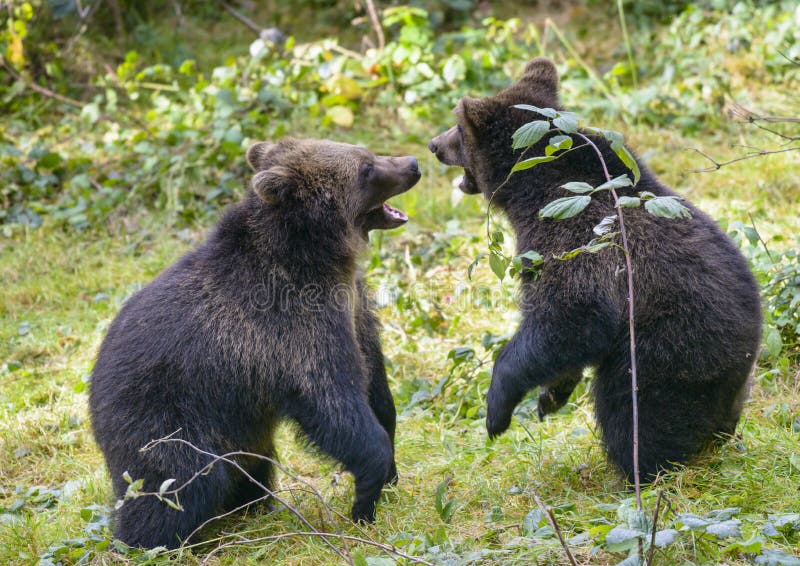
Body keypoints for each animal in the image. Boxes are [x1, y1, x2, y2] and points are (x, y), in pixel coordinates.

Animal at [88, 138, 420, 549]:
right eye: (366, 169)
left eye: (366, 151)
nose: (412, 164)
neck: (319, 259)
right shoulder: (291, 327)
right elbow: (332, 399)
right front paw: (365, 497)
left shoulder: (354, 307)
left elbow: (375, 384)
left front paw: (389, 467)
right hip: (163, 416)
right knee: (179, 482)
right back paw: (153, 540)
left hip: (240, 429)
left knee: (253, 465)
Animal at [428, 57, 762, 481]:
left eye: (457, 129)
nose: (434, 145)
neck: (534, 191)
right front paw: (550, 397)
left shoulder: (574, 242)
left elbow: (571, 318)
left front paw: (496, 411)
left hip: (669, 348)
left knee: (632, 407)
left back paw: (640, 466)